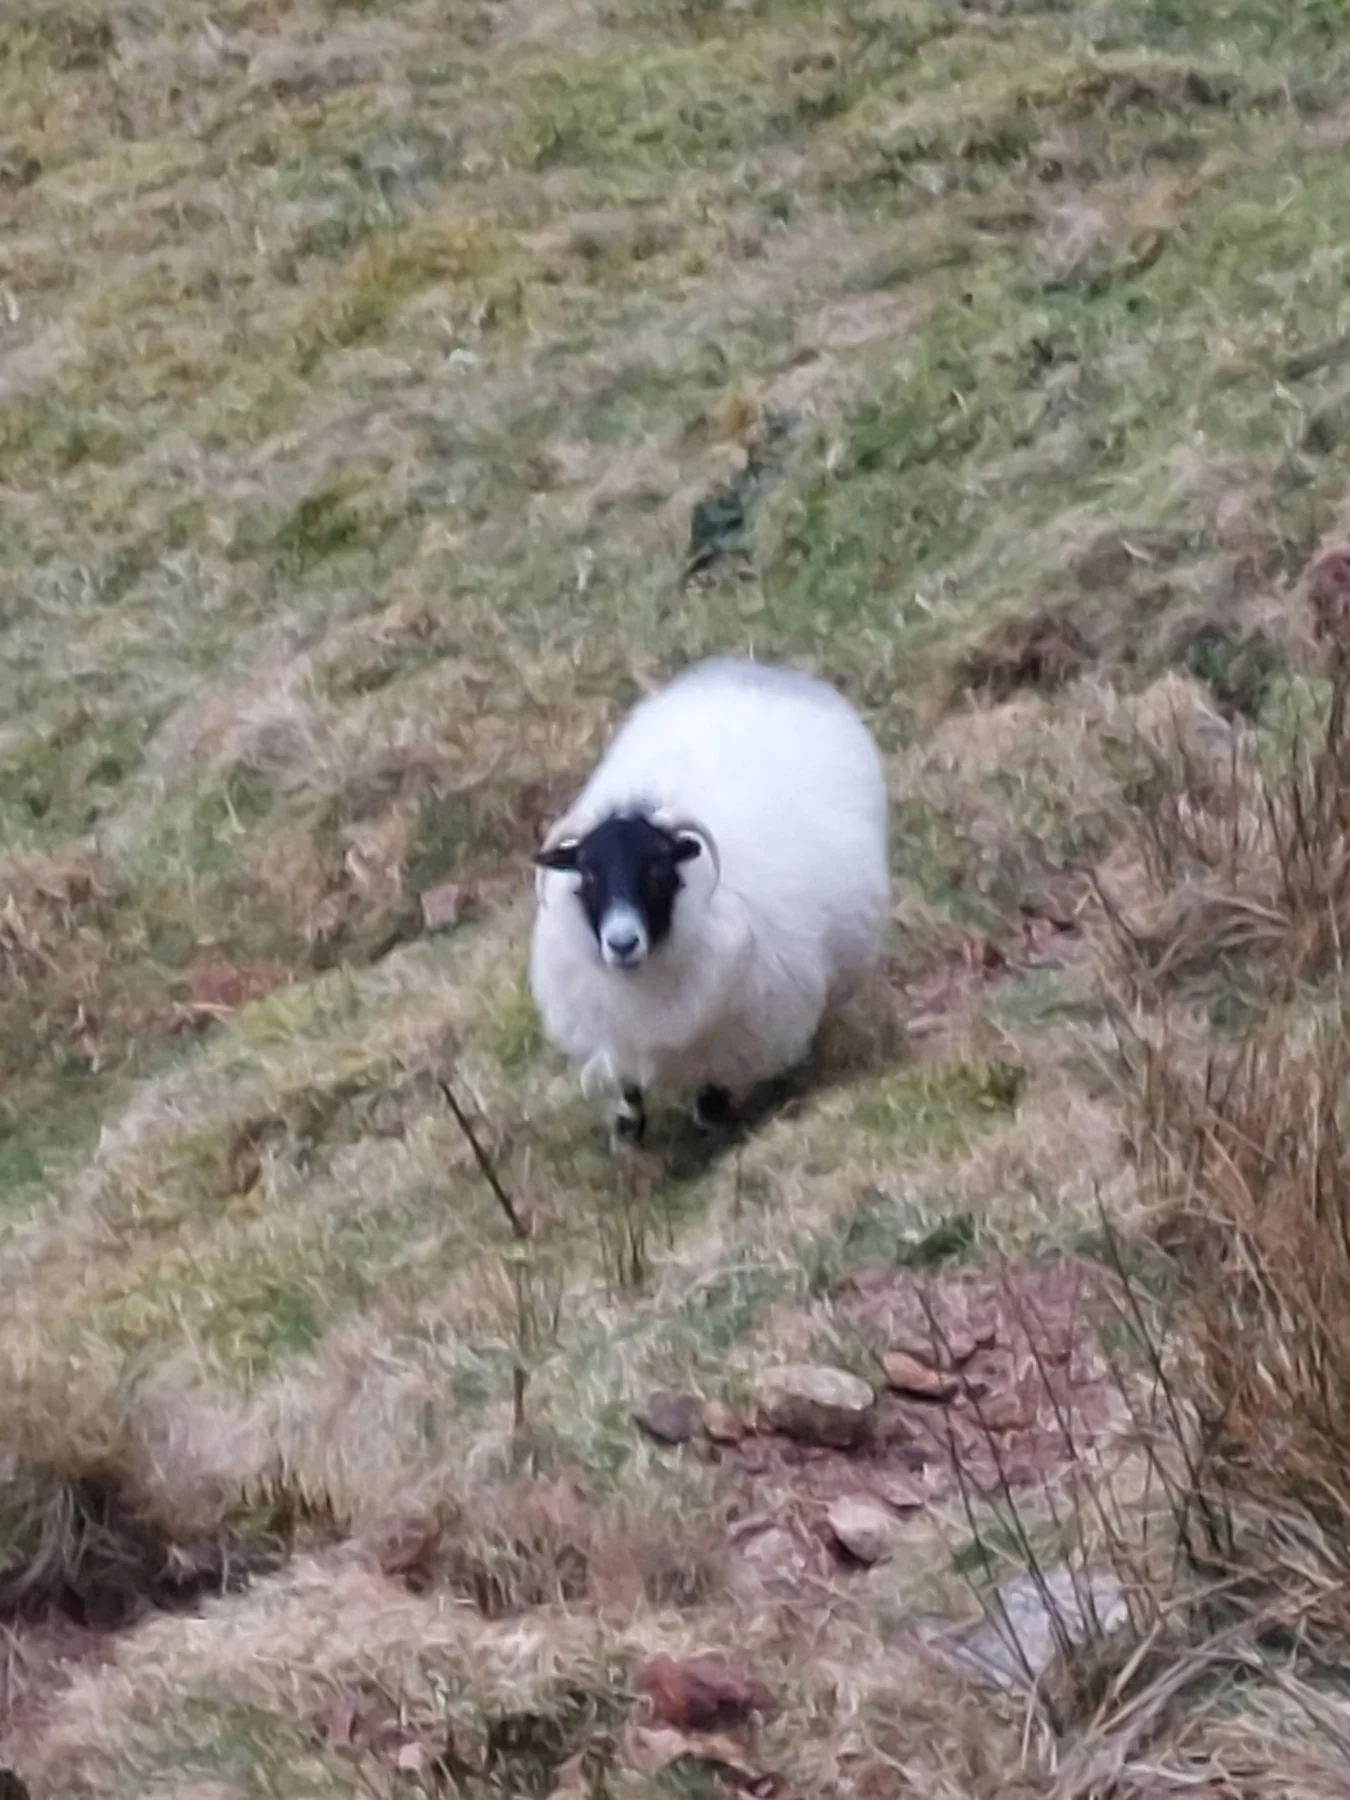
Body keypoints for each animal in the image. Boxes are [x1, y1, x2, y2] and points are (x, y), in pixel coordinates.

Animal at [528, 656, 890, 1142]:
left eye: (658, 871)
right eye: (587, 875)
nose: (622, 943)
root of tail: (761, 672)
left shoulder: (727, 1038)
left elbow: (712, 1092)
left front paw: (712, 1124)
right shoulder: (613, 1033)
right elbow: (628, 1089)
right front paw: (627, 1131)